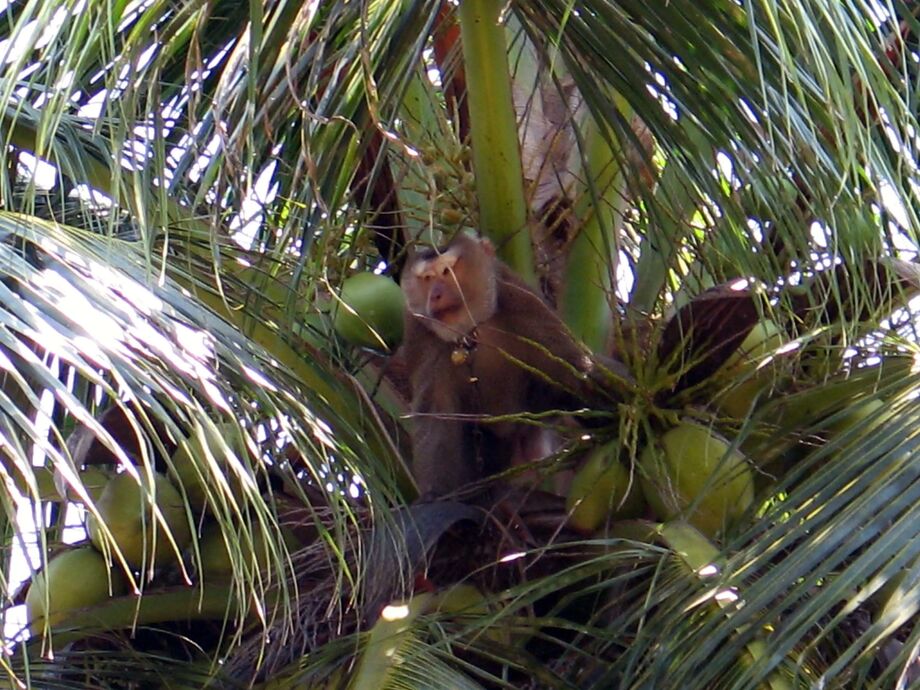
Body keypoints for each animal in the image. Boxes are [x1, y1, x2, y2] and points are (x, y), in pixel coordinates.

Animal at [399, 234, 630, 499]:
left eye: (447, 271)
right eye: (427, 279)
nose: (436, 294)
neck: (470, 332)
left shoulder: (520, 301)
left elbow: (574, 370)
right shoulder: (419, 333)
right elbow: (436, 412)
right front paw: (436, 495)